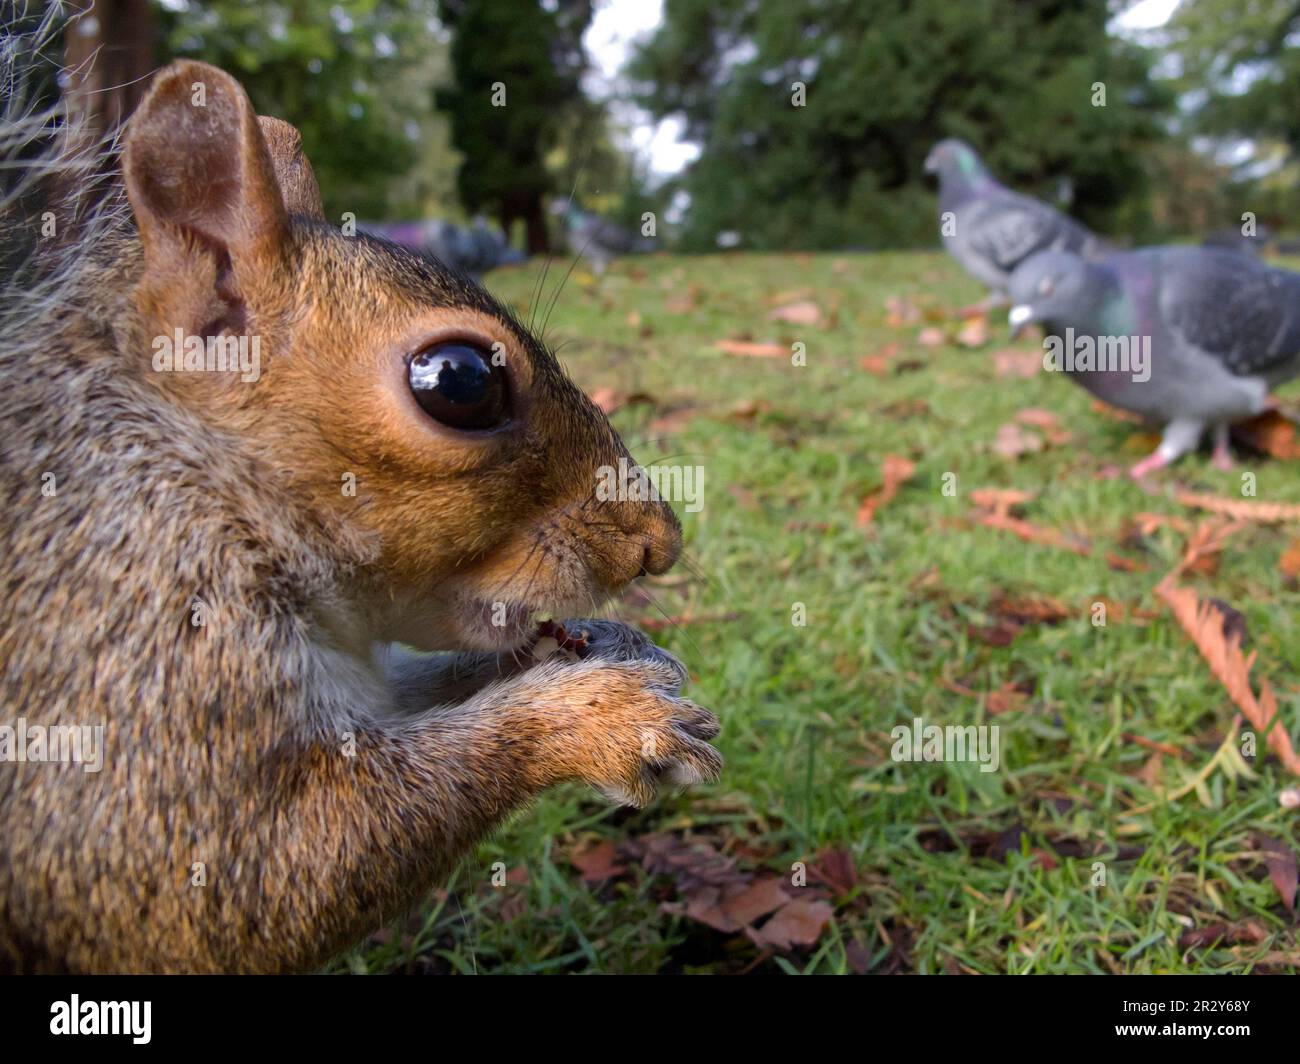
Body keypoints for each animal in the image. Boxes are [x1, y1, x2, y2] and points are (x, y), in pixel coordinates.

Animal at [0, 46, 721, 973]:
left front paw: (605, 649)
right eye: (461, 381)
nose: (657, 545)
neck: (202, 479)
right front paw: (602, 719)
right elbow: (244, 872)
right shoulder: (127, 657)